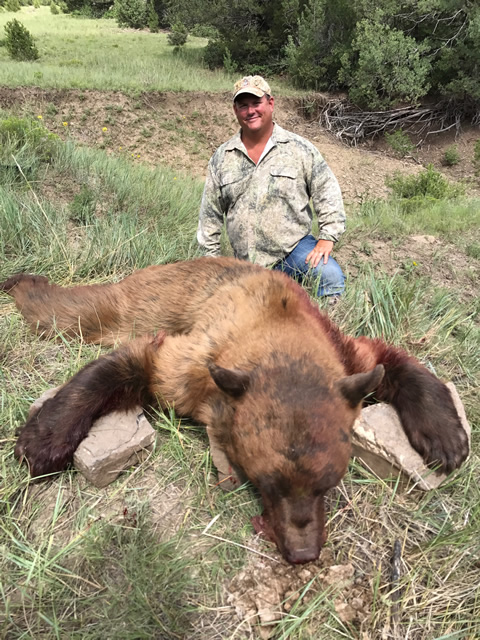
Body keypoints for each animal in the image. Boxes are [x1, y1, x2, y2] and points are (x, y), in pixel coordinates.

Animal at [0, 257, 469, 565]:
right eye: (265, 483)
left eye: (328, 484)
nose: (302, 554)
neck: (277, 324)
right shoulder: (190, 364)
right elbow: (125, 366)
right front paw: (44, 439)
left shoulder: (346, 356)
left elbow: (393, 361)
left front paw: (446, 436)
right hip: (148, 299)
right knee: (73, 312)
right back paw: (21, 281)